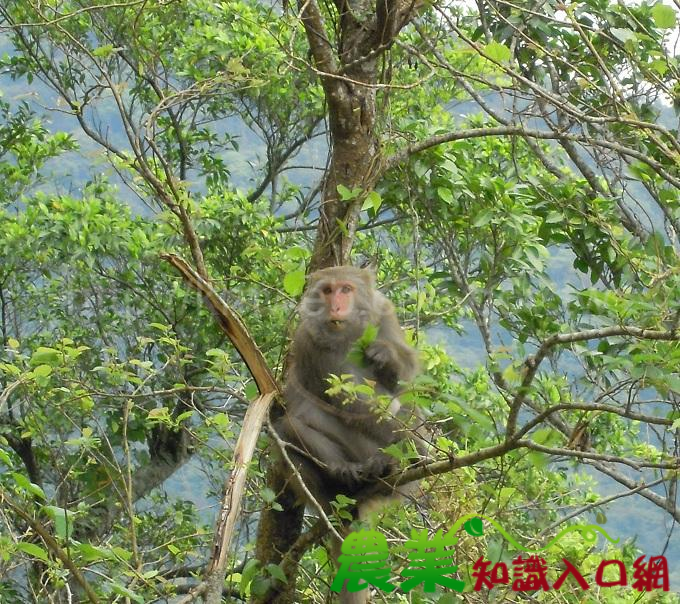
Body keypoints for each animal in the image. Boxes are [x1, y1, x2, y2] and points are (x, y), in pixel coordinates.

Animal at [272, 266, 425, 603]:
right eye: (328, 291)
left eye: (345, 289)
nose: (336, 307)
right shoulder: (308, 341)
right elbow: (342, 398)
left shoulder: (385, 315)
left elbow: (406, 377)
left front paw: (386, 355)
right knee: (288, 428)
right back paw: (345, 478)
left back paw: (400, 461)